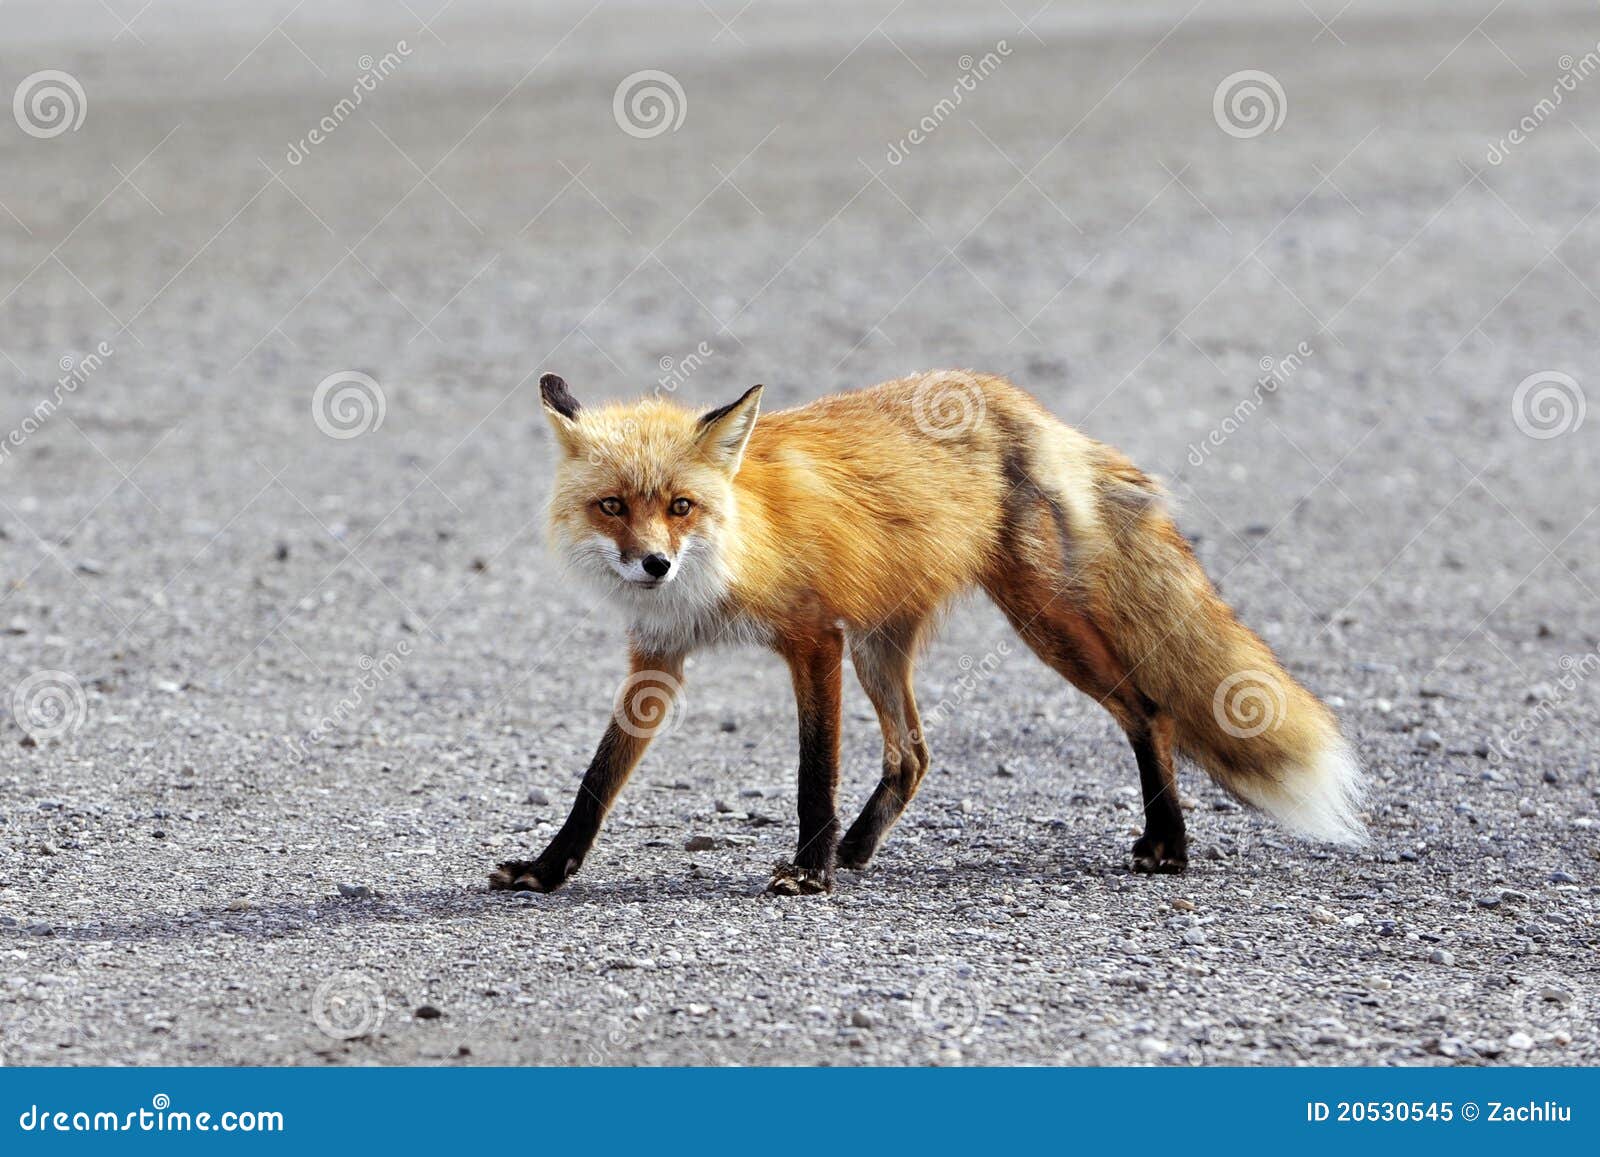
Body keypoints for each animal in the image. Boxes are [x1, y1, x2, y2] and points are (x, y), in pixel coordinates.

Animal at [490, 370, 1364, 897]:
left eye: (680, 505)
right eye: (612, 506)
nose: (654, 564)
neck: (735, 548)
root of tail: (1017, 401)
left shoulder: (814, 639)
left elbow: (814, 775)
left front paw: (809, 873)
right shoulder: (659, 657)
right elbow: (597, 779)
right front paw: (549, 867)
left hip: (1039, 619)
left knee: (1150, 711)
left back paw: (1169, 843)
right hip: (883, 645)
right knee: (912, 754)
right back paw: (858, 848)